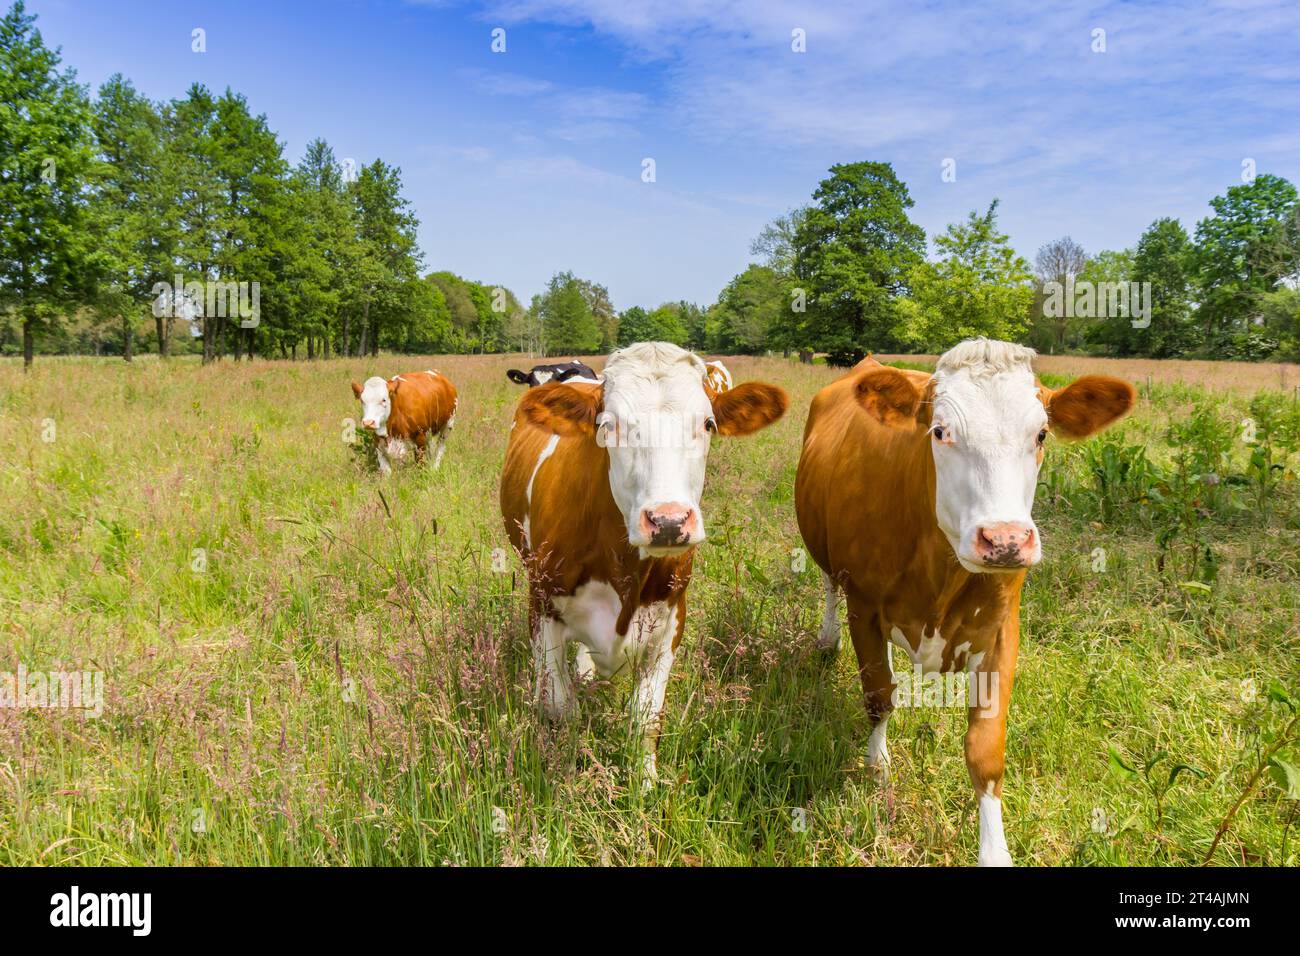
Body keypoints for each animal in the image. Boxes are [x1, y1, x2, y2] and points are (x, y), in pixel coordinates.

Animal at [500, 342, 788, 779]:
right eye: (608, 425)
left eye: (708, 424)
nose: (668, 521)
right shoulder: (541, 603)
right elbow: (558, 705)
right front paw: (563, 768)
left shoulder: (671, 618)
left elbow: (645, 716)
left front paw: (646, 783)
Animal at [794, 338, 1135, 866]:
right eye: (940, 431)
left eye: (1041, 434)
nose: (1006, 540)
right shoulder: (864, 607)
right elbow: (879, 694)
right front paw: (878, 768)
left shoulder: (1002, 629)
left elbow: (985, 750)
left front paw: (995, 851)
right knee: (830, 587)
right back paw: (828, 641)